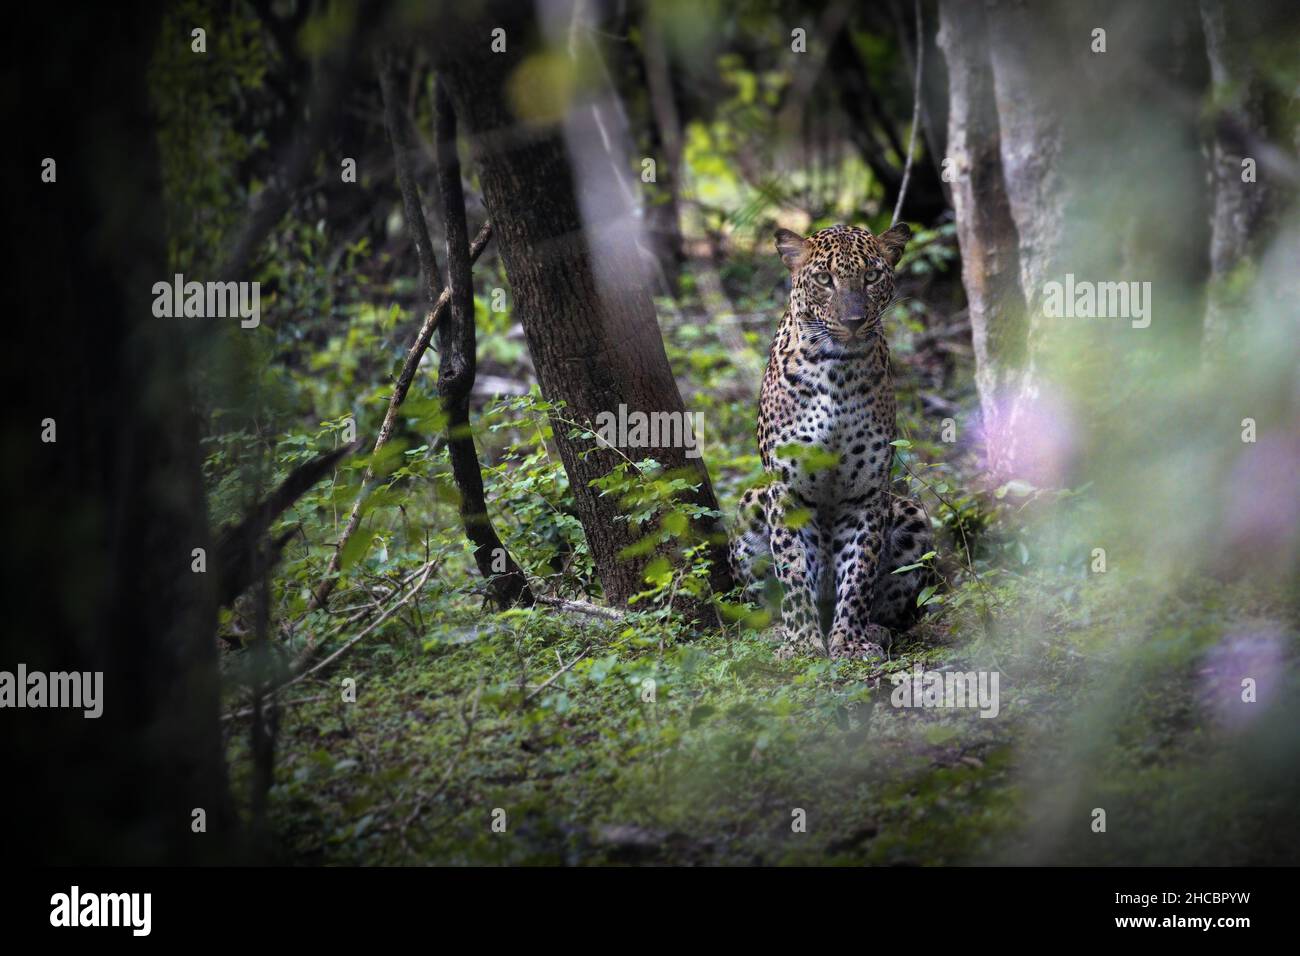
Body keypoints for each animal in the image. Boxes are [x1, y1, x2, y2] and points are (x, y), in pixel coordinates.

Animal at [729, 222, 937, 660]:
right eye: (825, 280)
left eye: (872, 276)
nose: (855, 320)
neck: (837, 372)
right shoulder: (786, 490)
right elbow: (792, 571)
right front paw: (801, 643)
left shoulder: (867, 493)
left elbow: (859, 572)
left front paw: (850, 641)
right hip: (752, 502)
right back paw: (776, 632)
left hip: (910, 513)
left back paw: (876, 629)